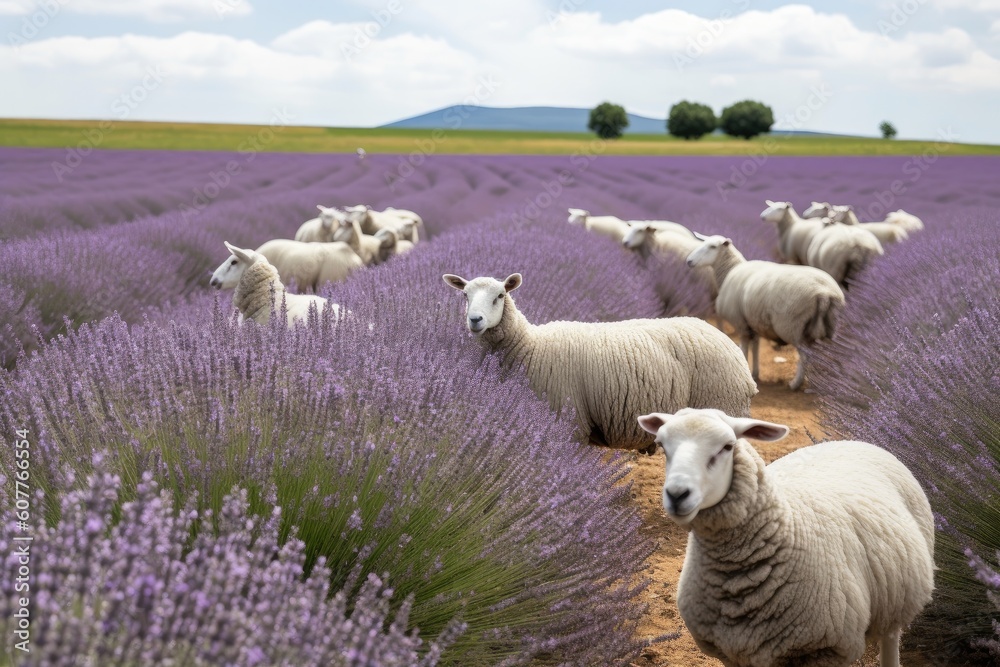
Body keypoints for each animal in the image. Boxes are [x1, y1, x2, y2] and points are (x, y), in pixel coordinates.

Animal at [636, 408, 934, 667]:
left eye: (727, 446)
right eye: (662, 445)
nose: (677, 494)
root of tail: (854, 442)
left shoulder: (824, 651)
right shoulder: (730, 652)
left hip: (897, 604)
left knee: (891, 640)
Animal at [687, 234, 845, 390]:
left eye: (712, 246)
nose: (689, 261)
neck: (729, 270)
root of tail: (824, 292)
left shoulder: (741, 322)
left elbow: (744, 348)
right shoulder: (752, 321)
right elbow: (755, 347)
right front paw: (755, 373)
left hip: (793, 326)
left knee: (805, 356)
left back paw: (796, 384)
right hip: (829, 326)